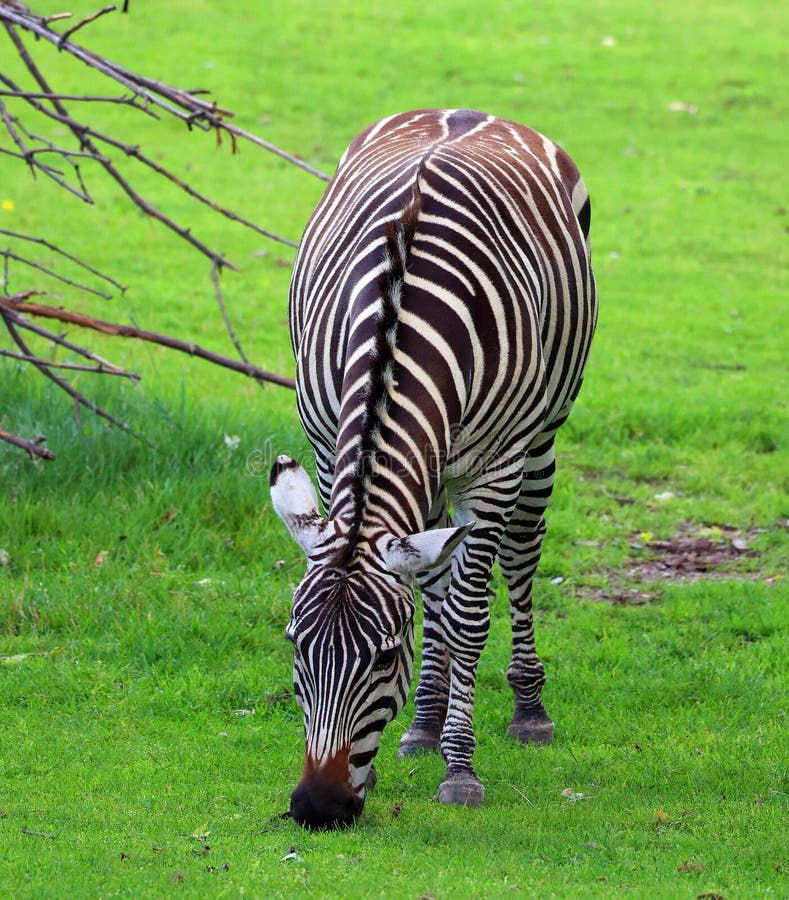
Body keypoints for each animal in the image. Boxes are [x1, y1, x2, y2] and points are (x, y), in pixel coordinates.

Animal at [270, 108, 597, 829]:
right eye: (294, 645)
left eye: (385, 656)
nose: (318, 808)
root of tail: (468, 113)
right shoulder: (330, 450)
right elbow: (433, 601)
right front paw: (427, 733)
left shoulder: (494, 468)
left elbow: (470, 617)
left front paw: (461, 769)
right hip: (431, 477)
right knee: (438, 582)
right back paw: (424, 723)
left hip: (540, 437)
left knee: (521, 557)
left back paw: (527, 709)